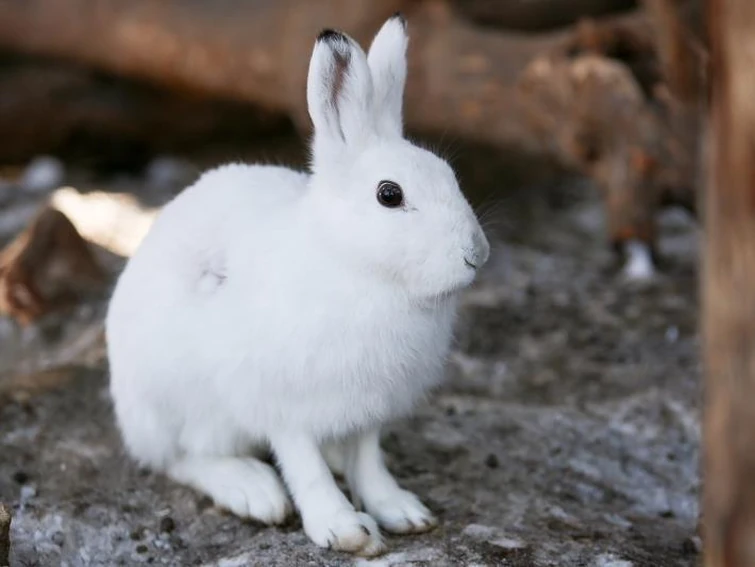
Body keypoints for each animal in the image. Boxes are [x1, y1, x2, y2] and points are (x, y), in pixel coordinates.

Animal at [106, 13, 490, 557]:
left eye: (450, 176)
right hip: (185, 405)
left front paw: (401, 511)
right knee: (183, 458)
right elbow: (304, 466)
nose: (476, 255)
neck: (355, 265)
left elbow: (369, 461)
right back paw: (253, 490)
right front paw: (344, 529)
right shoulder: (284, 405)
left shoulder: (369, 411)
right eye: (389, 195)